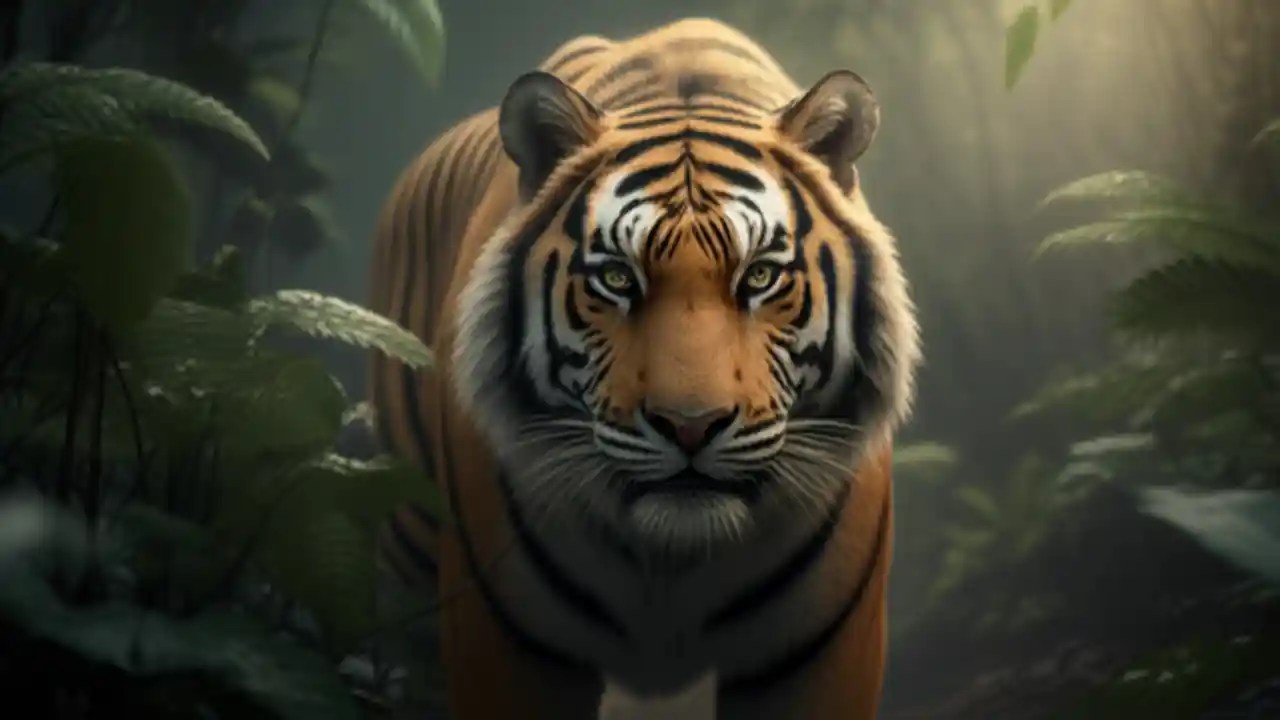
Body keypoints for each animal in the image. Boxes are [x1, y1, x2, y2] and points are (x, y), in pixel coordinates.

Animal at [368, 16, 921, 720]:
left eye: (759, 277)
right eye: (616, 279)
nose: (690, 426)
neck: (670, 563)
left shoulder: (818, 655)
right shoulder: (507, 643)